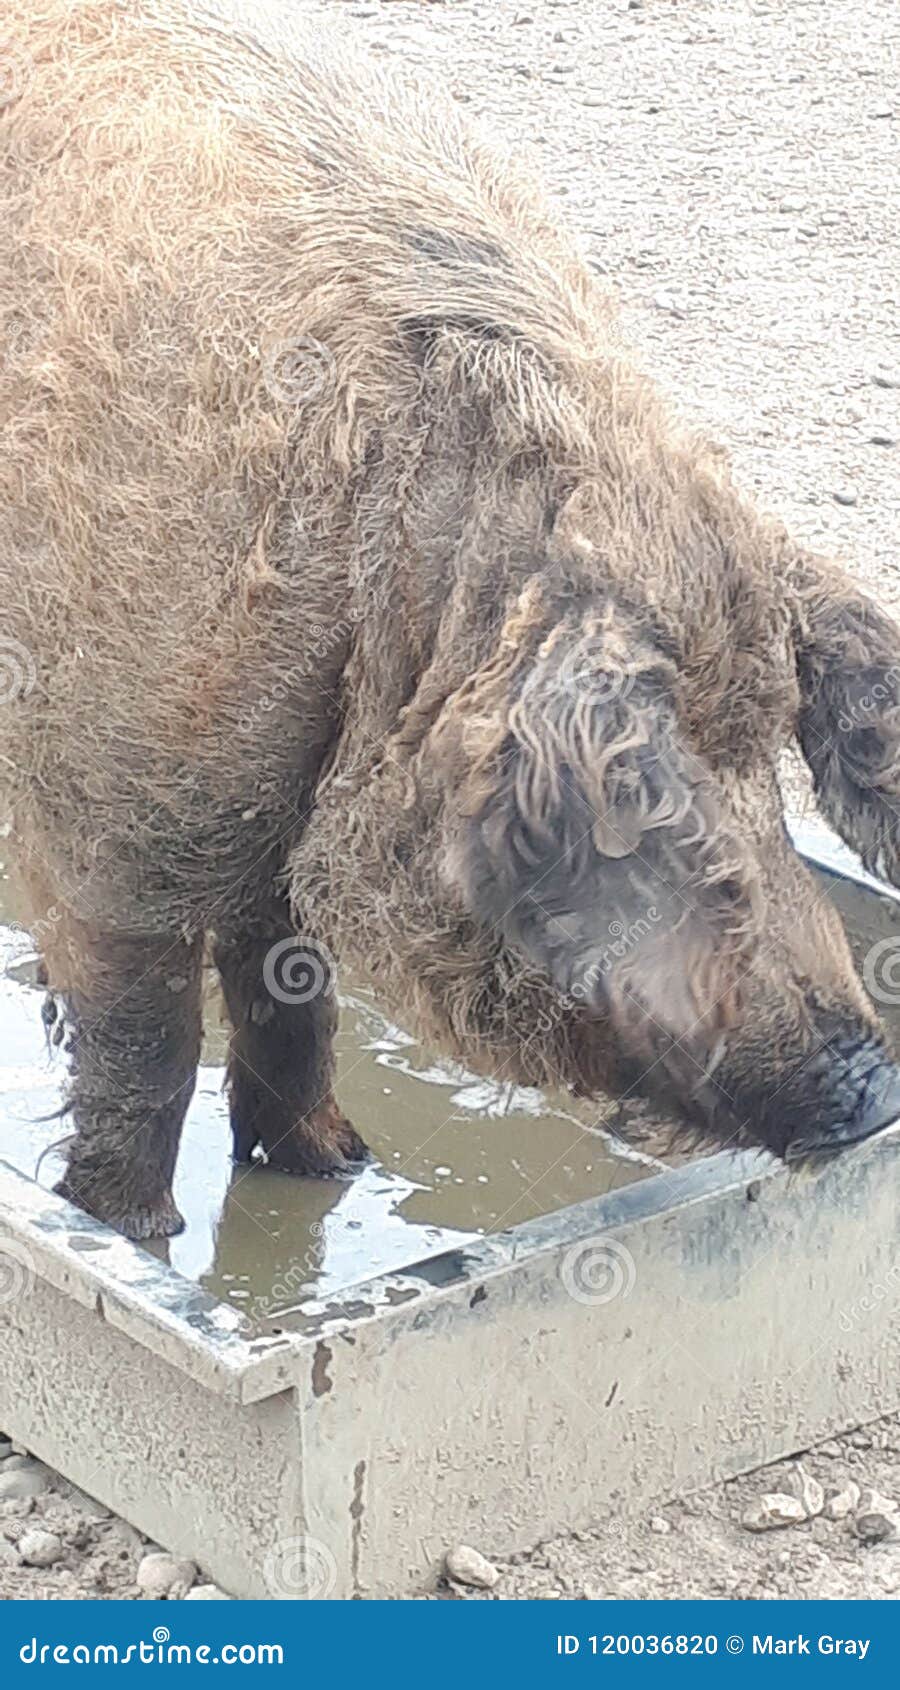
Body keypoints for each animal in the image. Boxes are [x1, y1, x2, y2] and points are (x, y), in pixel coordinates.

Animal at [2, 0, 900, 1240]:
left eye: (768, 748)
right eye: (645, 800)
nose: (875, 1089)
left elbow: (292, 993)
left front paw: (335, 1168)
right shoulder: (113, 813)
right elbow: (150, 1052)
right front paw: (138, 1235)